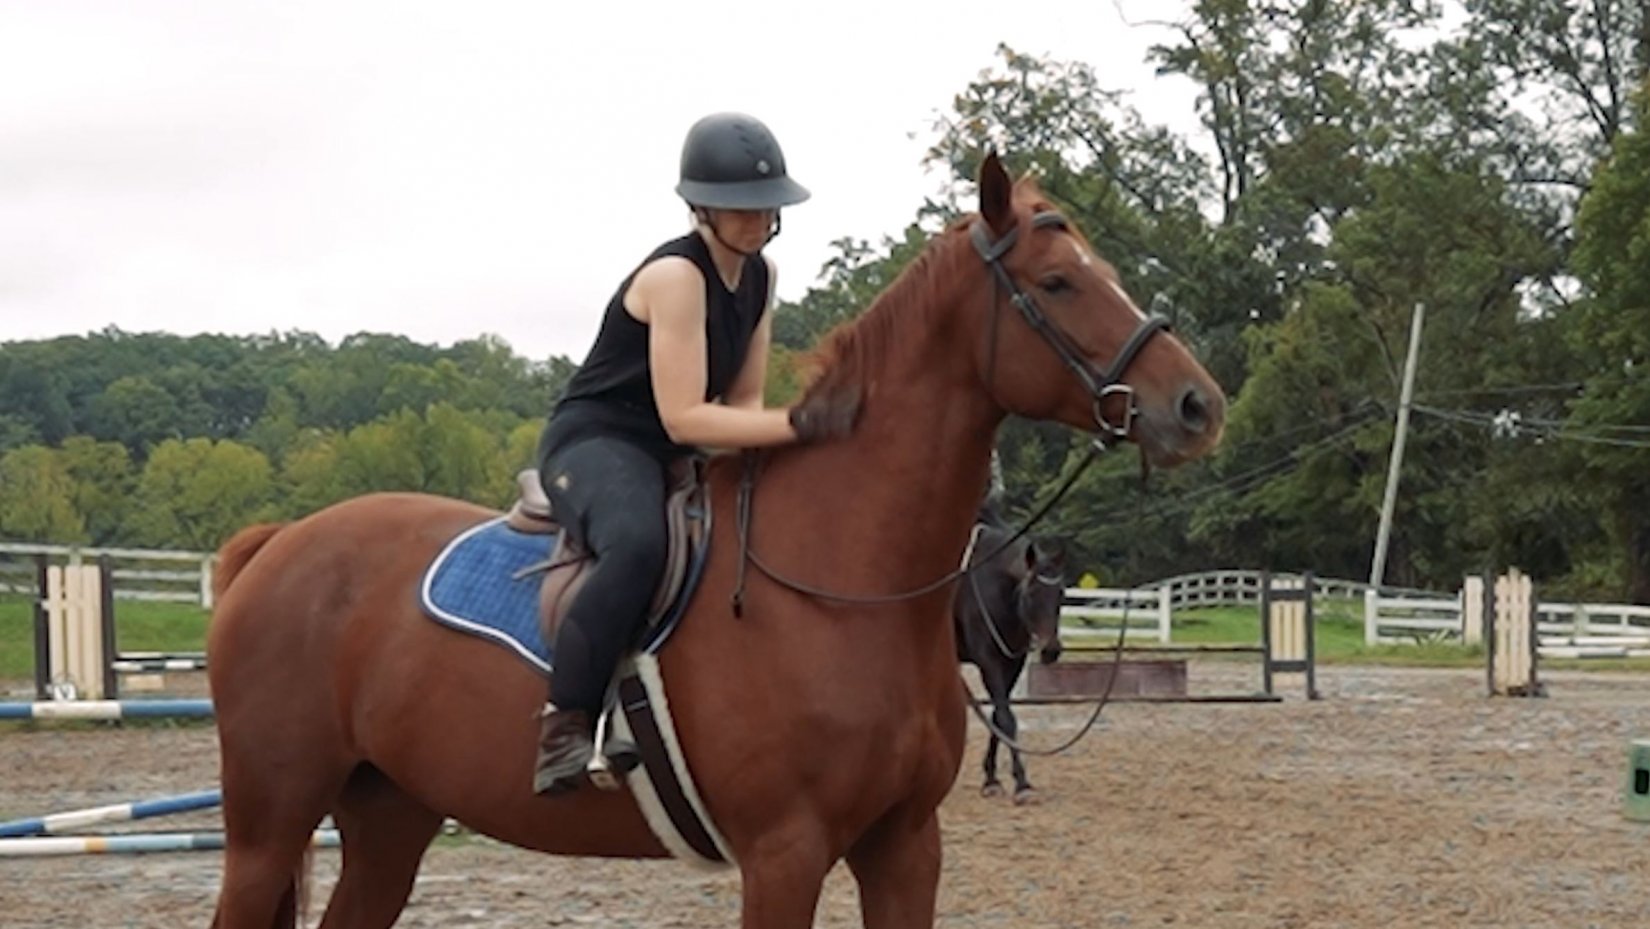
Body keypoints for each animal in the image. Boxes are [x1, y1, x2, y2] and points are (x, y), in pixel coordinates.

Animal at [953, 511, 1067, 805]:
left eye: (1061, 593)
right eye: (1032, 593)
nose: (1051, 650)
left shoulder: (1012, 663)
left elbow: (998, 716)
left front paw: (991, 778)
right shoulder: (988, 660)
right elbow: (1006, 718)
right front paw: (1022, 784)